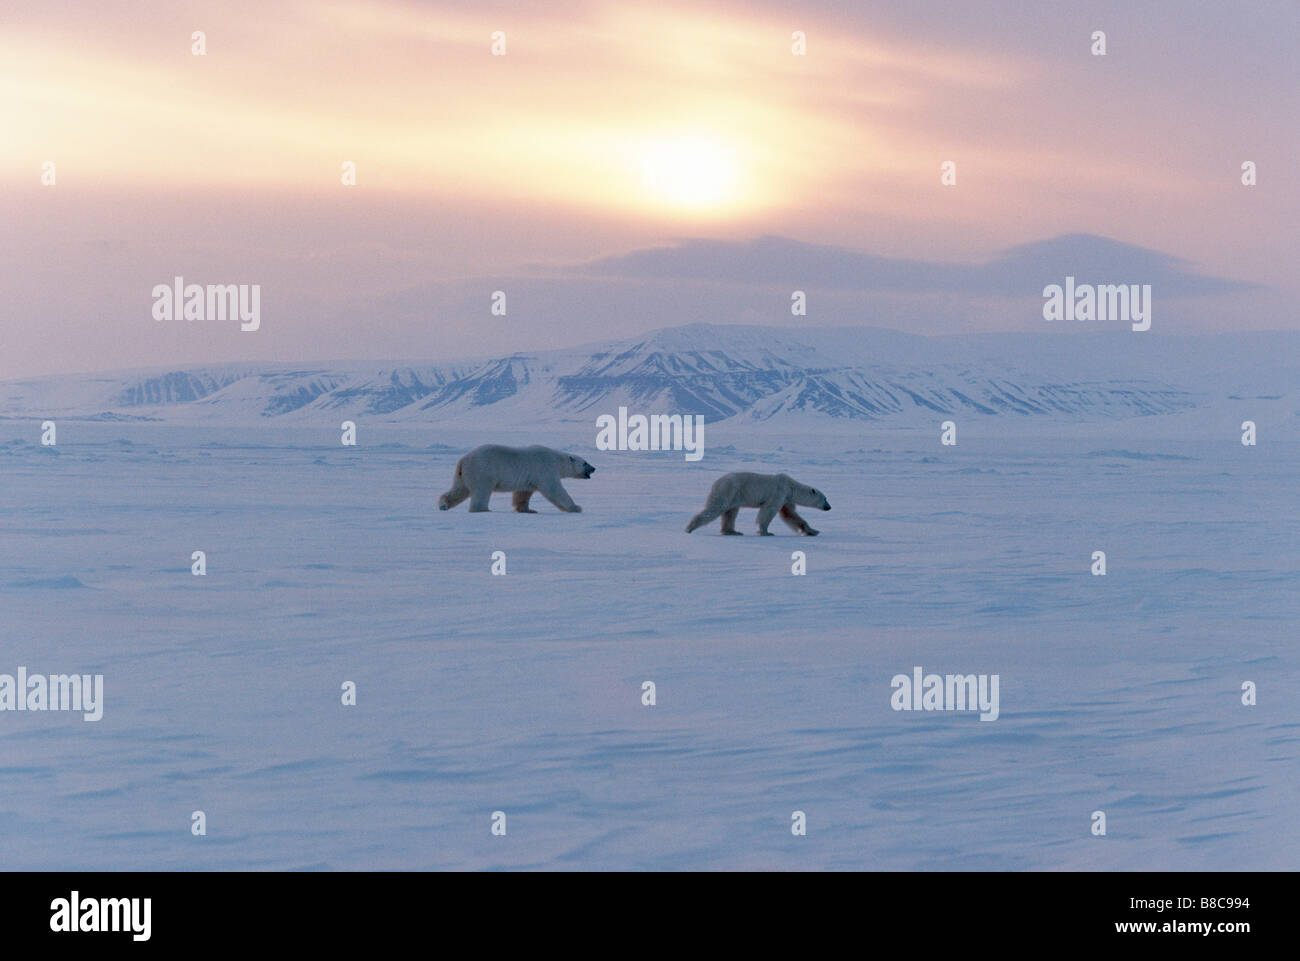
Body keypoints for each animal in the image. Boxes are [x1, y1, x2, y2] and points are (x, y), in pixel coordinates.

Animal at [438, 444, 595, 513]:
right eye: (585, 462)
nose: (594, 468)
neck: (557, 460)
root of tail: (463, 459)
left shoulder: (529, 478)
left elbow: (523, 493)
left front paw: (527, 510)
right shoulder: (545, 468)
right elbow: (555, 490)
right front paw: (576, 507)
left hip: (463, 474)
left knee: (459, 489)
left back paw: (444, 505)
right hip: (482, 471)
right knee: (481, 490)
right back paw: (483, 509)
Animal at [685, 472, 831, 536]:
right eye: (825, 498)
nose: (829, 507)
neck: (791, 487)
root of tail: (716, 483)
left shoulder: (786, 499)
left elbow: (791, 515)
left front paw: (813, 531)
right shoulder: (778, 493)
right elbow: (768, 511)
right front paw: (766, 532)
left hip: (734, 496)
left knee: (730, 513)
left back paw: (732, 531)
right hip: (728, 490)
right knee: (715, 508)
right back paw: (689, 528)